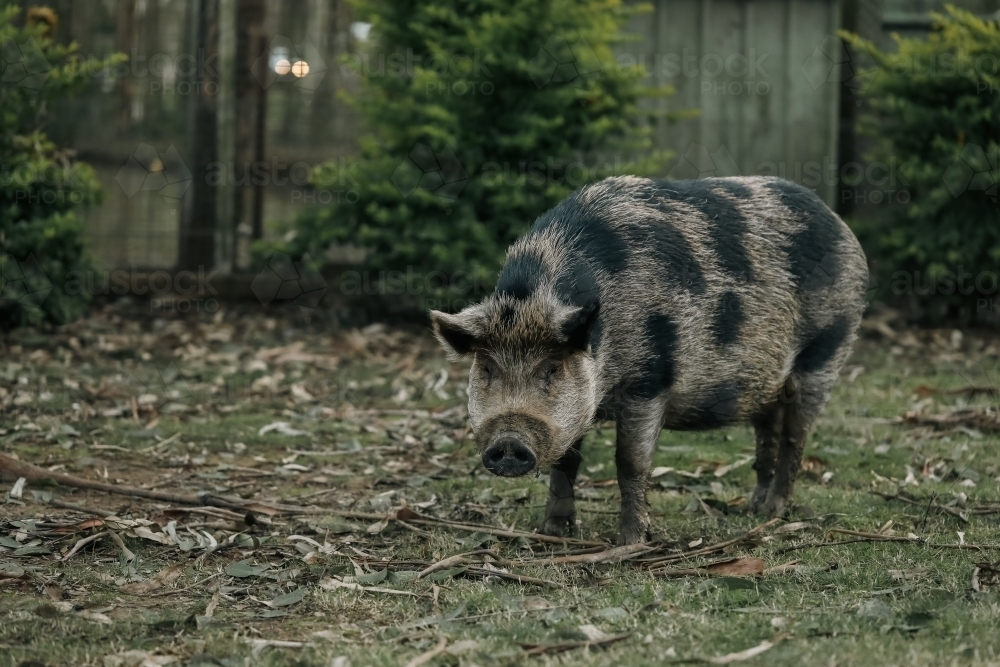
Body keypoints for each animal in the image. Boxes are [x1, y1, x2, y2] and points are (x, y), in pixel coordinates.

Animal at [429, 176, 868, 544]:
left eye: (552, 368)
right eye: (487, 368)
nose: (508, 442)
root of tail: (841, 224)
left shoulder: (649, 381)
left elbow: (630, 464)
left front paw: (631, 542)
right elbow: (566, 464)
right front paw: (553, 533)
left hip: (829, 346)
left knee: (795, 435)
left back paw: (774, 511)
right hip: (768, 382)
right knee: (768, 431)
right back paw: (754, 507)